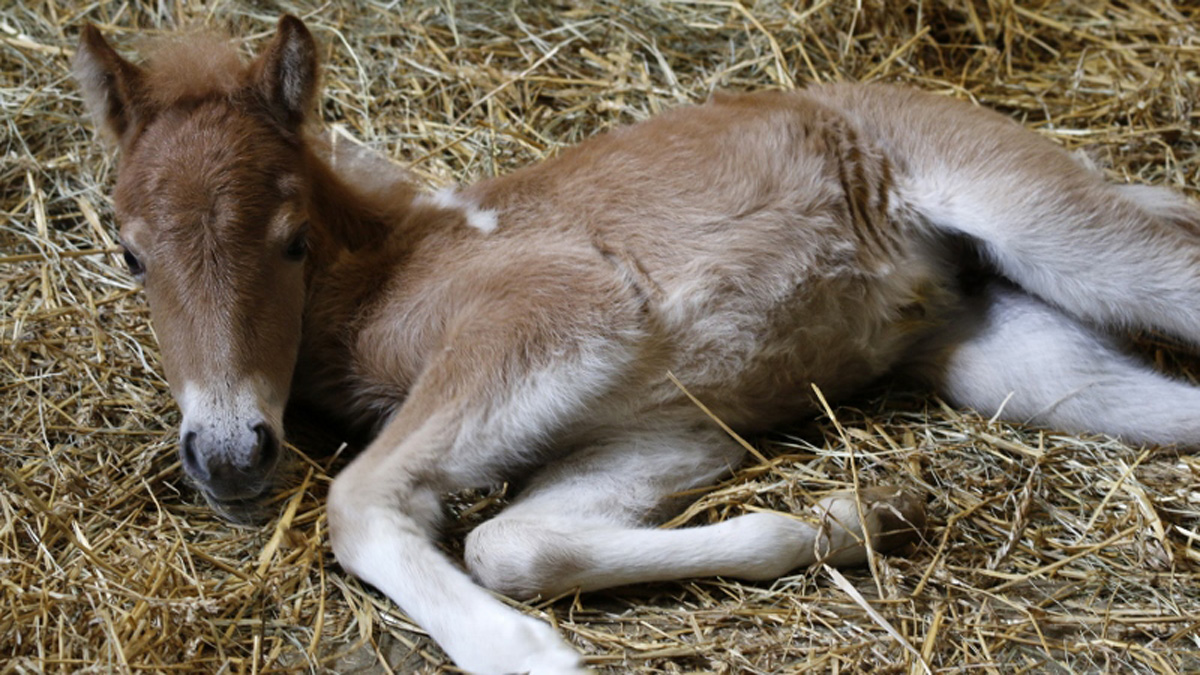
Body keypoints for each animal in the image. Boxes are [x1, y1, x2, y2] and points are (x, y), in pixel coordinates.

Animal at [75, 15, 1200, 674]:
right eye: (128, 254)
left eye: (292, 239)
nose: (229, 454)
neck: (392, 262)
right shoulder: (670, 426)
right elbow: (516, 543)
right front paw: (863, 515)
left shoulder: (554, 313)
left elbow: (362, 503)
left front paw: (519, 652)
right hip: (1021, 365)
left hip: (1065, 236)